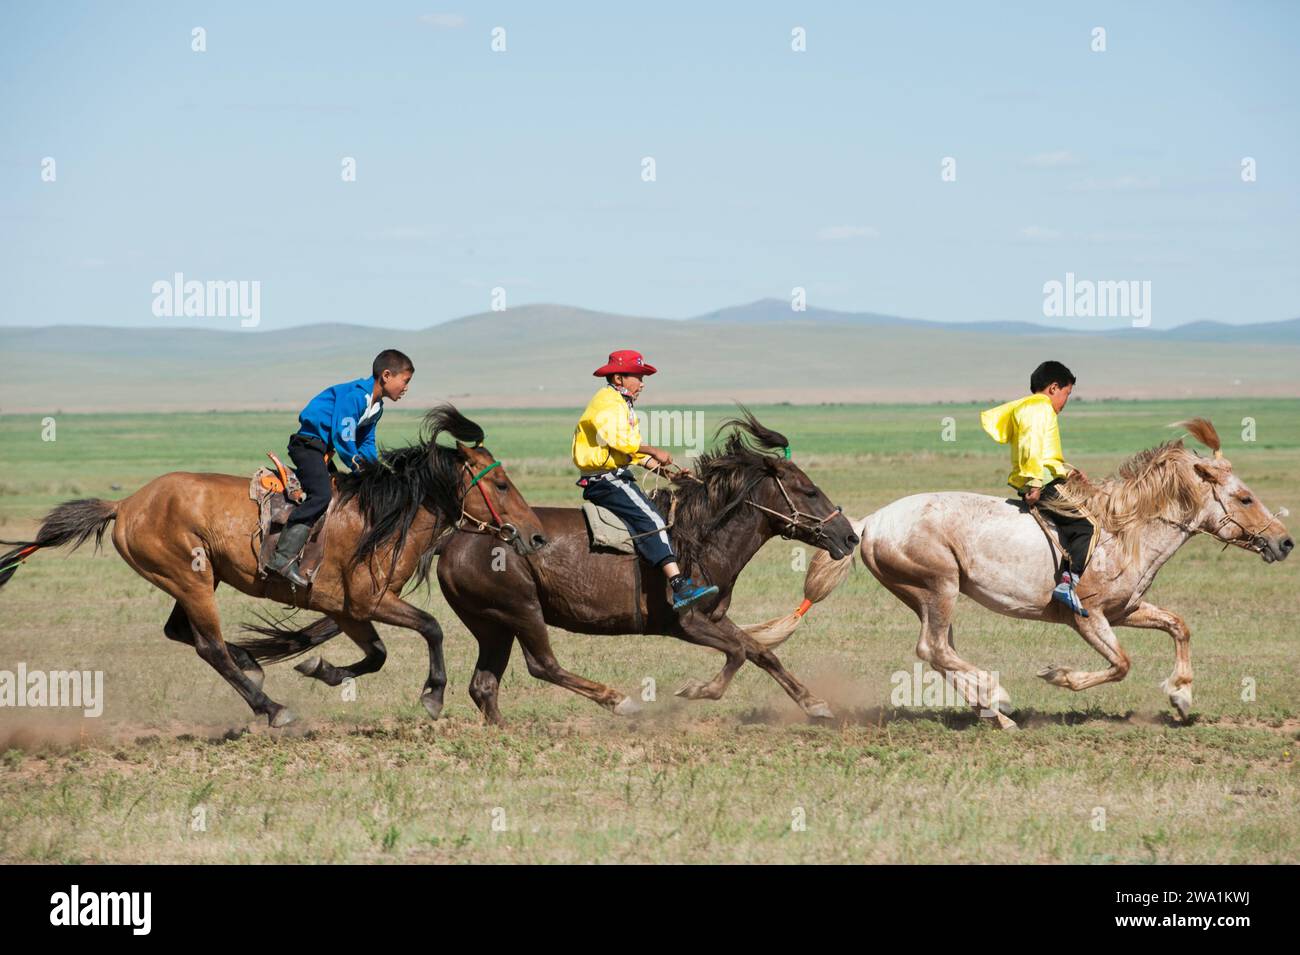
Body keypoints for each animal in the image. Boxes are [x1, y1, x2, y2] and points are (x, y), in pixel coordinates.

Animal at [0, 405, 547, 726]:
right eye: (501, 485)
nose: (536, 535)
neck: (381, 516)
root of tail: (126, 504)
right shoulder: (370, 601)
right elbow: (431, 628)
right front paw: (432, 697)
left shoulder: (349, 610)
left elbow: (375, 656)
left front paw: (321, 669)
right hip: (190, 579)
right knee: (208, 646)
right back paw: (272, 707)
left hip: (196, 579)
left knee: (183, 634)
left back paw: (253, 666)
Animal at [783, 418, 1292, 729]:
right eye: (1245, 497)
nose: (1285, 542)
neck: (1125, 531)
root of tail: (871, 522)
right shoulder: (1089, 617)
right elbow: (1121, 664)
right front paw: (1058, 676)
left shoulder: (1125, 610)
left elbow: (1179, 626)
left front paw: (1181, 697)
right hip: (938, 586)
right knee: (933, 648)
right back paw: (999, 697)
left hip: (923, 595)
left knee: (942, 651)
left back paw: (992, 710)